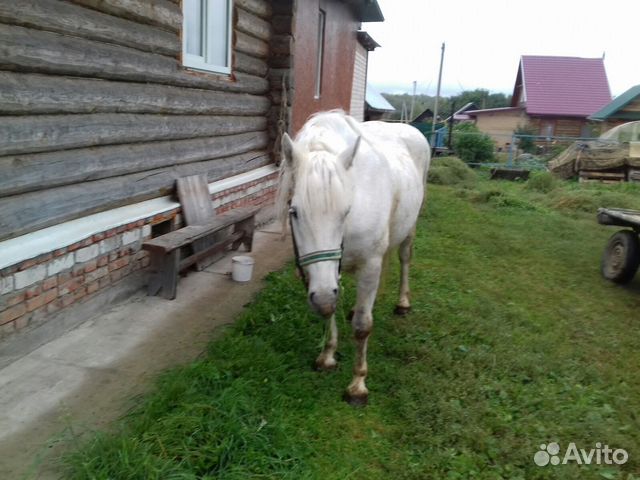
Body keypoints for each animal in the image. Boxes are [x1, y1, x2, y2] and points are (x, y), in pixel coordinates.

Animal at [276, 110, 430, 405]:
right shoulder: (321, 275)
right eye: (294, 212)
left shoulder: (369, 265)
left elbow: (362, 326)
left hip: (410, 228)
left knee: (405, 259)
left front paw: (358, 384)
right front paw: (327, 356)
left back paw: (403, 303)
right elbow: (330, 310)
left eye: (346, 212)